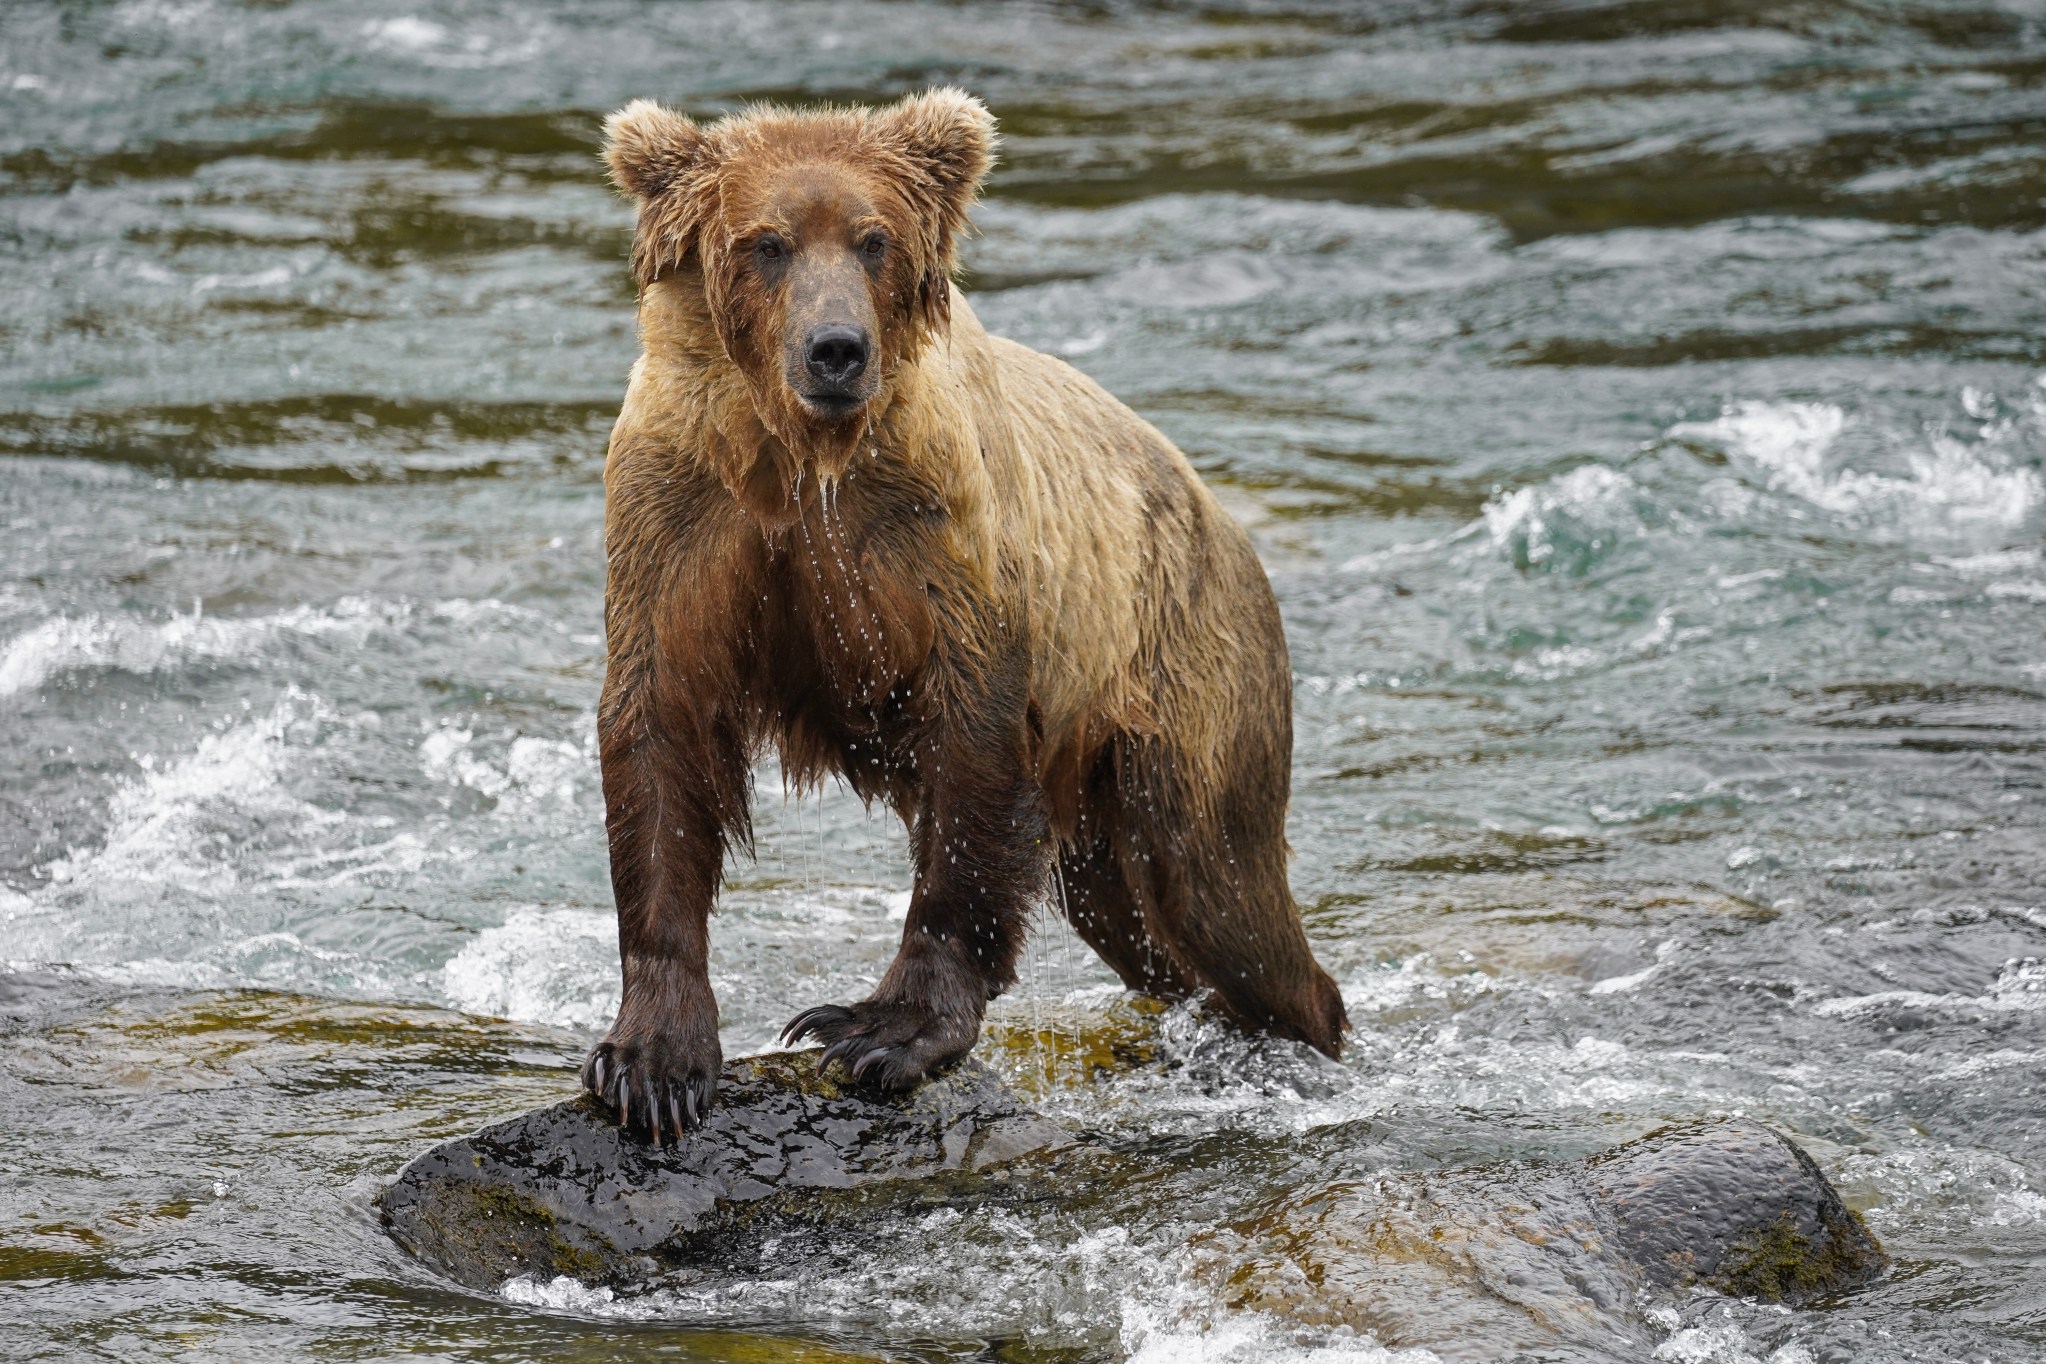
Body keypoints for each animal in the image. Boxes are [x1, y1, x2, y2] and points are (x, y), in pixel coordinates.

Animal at [585, 88, 1348, 1143]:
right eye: (766, 243)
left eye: (873, 239)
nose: (836, 349)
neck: (804, 459)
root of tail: (1225, 519)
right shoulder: (679, 518)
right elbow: (661, 730)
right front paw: (651, 1060)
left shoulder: (938, 538)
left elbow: (971, 758)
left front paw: (881, 1029)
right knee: (1140, 919)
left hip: (1186, 678)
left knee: (1223, 890)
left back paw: (1302, 1037)